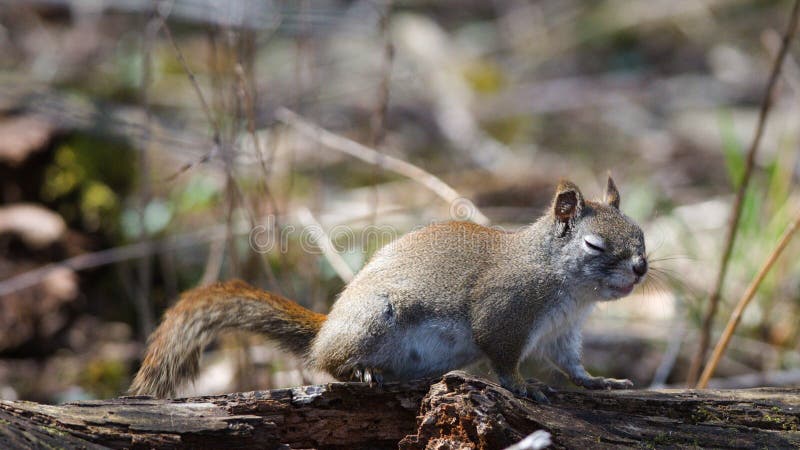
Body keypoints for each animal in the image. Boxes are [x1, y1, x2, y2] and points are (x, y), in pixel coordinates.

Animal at [130, 176, 647, 401]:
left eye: (640, 234)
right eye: (595, 245)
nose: (641, 268)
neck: (567, 288)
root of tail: (327, 328)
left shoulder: (563, 332)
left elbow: (572, 365)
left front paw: (600, 381)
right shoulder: (503, 312)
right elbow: (501, 358)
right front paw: (524, 385)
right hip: (375, 319)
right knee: (327, 364)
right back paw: (361, 371)